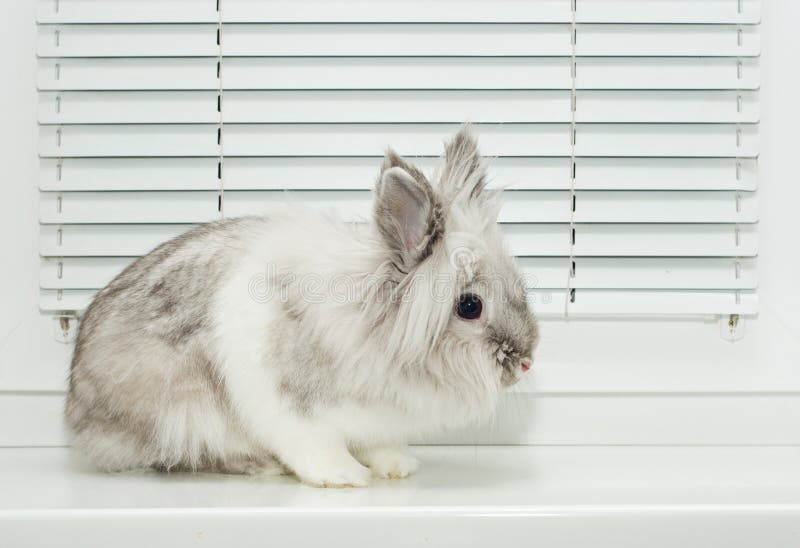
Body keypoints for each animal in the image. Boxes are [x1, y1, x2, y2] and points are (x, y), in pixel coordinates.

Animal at [65, 124, 539, 487]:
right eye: (469, 306)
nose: (526, 361)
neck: (365, 324)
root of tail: (77, 415)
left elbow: (377, 440)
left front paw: (397, 466)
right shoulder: (292, 408)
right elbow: (315, 446)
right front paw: (344, 477)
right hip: (185, 414)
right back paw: (263, 466)